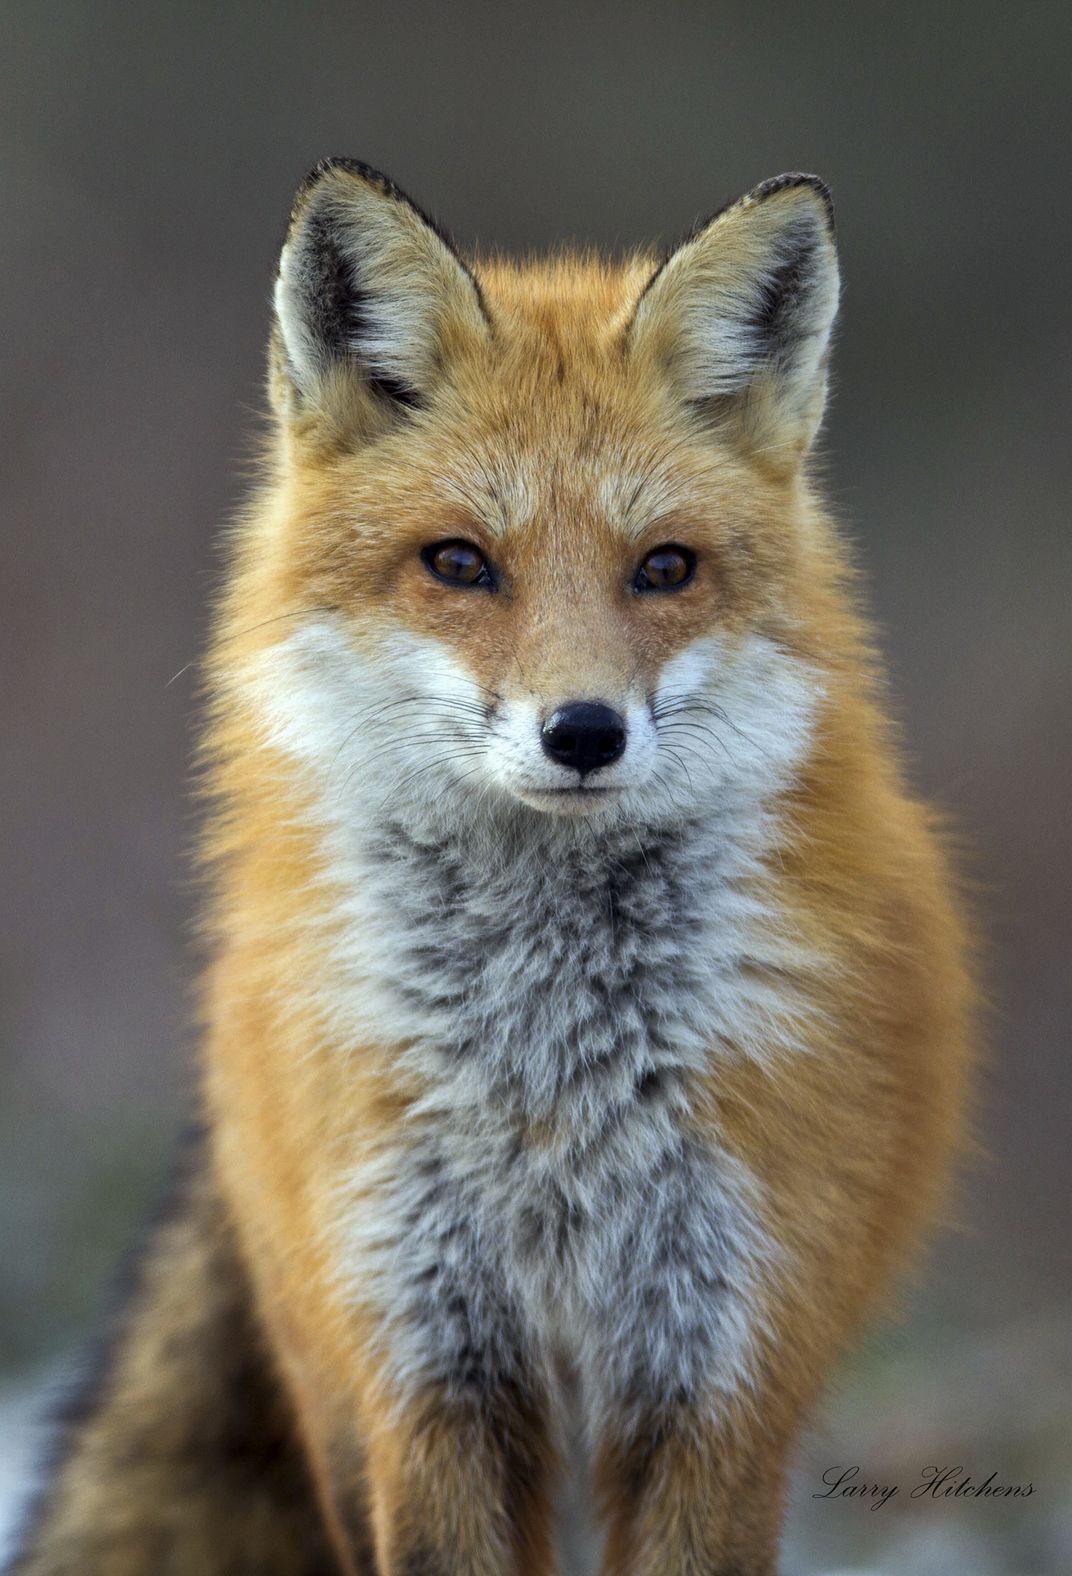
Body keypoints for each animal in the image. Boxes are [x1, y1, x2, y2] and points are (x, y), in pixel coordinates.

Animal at [12, 160, 974, 1576]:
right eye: (460, 563)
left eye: (664, 568)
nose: (583, 732)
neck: (548, 1081)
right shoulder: (423, 1367)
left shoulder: (718, 1369)